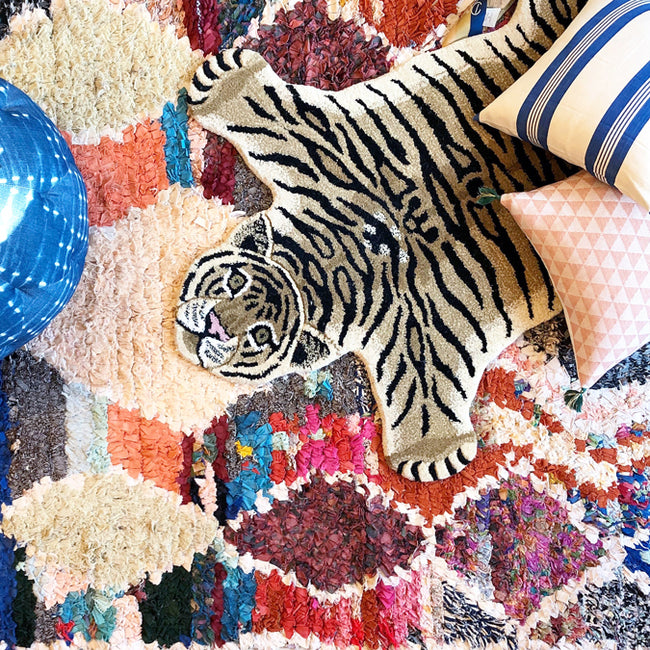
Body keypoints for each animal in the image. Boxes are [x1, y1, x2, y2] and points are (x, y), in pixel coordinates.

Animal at [177, 0, 585, 482]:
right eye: (235, 282)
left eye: (260, 337)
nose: (216, 327)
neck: (320, 269)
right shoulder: (327, 156)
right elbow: (281, 118)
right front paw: (226, 83)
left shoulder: (420, 328)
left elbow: (422, 387)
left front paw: (432, 448)